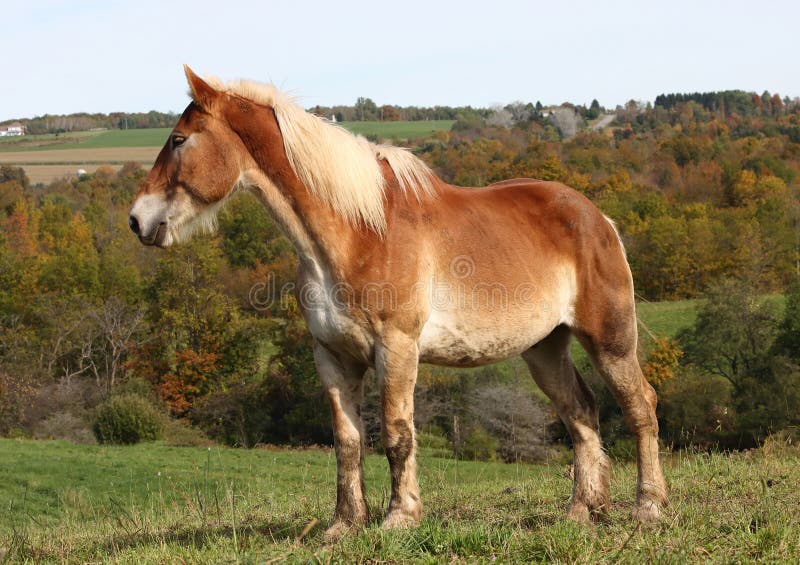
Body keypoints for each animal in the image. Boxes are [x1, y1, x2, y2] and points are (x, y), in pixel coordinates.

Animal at [129, 66, 668, 540]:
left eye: (179, 140)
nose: (138, 220)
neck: (357, 231)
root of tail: (598, 218)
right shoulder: (332, 357)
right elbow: (347, 442)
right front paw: (344, 525)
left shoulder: (397, 348)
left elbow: (396, 433)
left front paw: (400, 517)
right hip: (545, 349)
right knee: (581, 413)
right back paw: (581, 512)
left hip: (610, 340)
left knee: (640, 407)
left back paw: (648, 508)